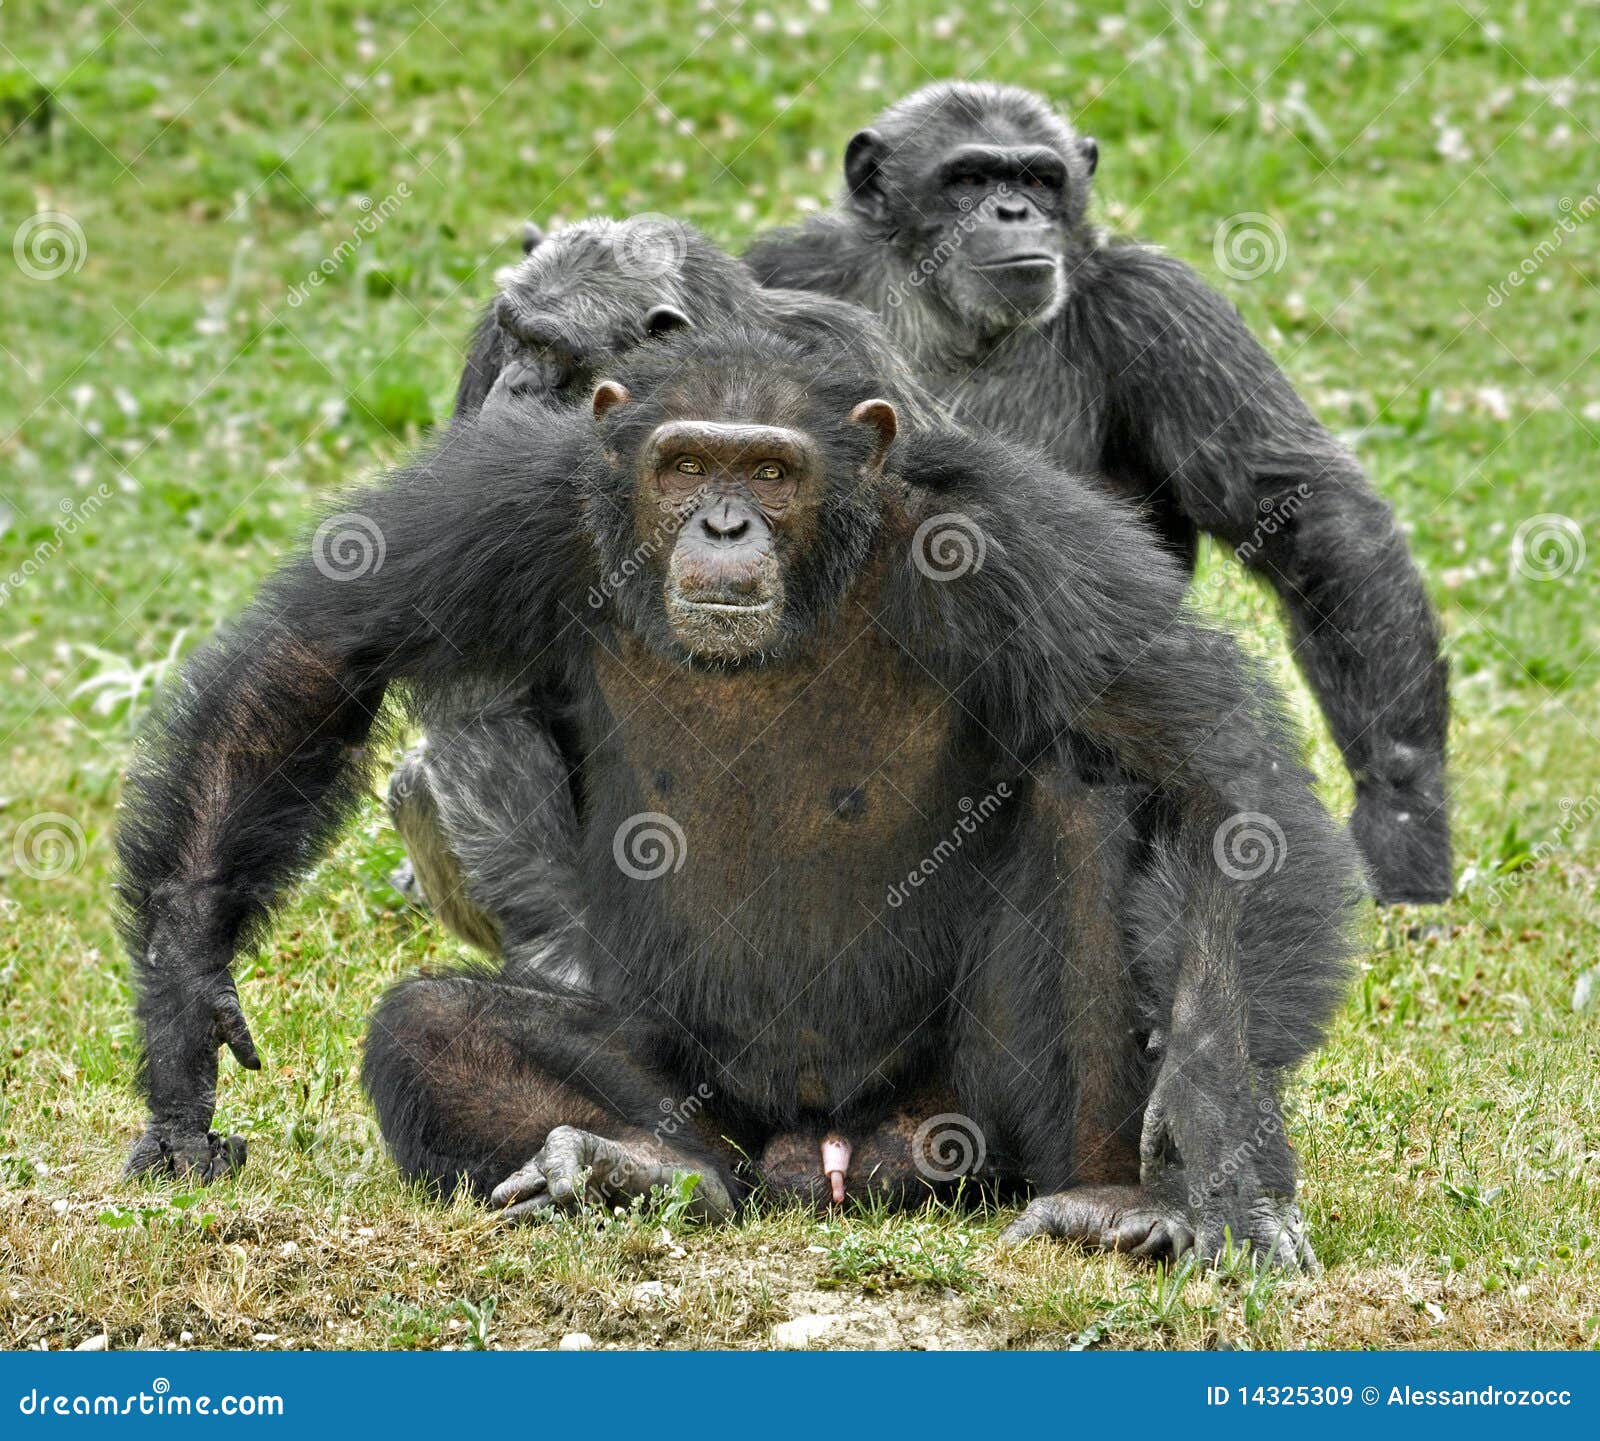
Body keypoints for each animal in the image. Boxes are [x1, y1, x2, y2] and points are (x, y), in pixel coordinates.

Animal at [116, 320, 1361, 1265]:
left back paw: (1113, 1206)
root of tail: (826, 1161)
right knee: (434, 1029)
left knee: (1089, 804)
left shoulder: (1016, 539)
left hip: (963, 1118)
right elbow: (318, 659)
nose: (724, 521)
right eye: (683, 464)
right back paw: (639, 1173)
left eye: (769, 469)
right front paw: (182, 1035)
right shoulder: (517, 498)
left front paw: (1221, 1150)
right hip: (703, 1092)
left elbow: (1211, 766)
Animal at [743, 81, 1452, 907]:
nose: (1014, 210)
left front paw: (1403, 814)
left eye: (1040, 178)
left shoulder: (1160, 306)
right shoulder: (783, 269)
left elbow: (1302, 506)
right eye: (970, 179)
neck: (947, 319)